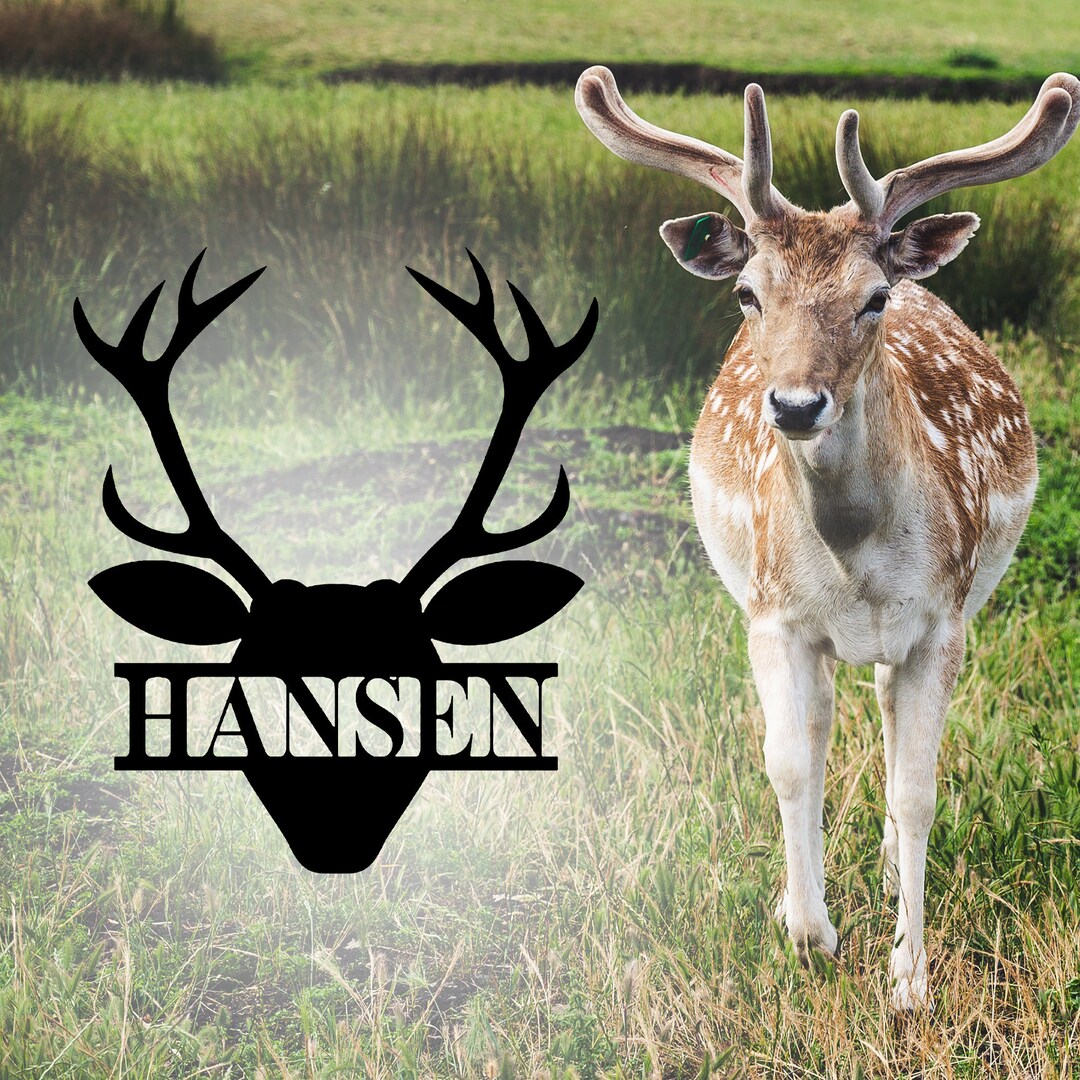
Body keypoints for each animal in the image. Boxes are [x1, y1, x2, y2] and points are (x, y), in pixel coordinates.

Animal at [575, 65, 1078, 1009]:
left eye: (871, 299)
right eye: (749, 294)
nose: (797, 404)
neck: (855, 554)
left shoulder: (943, 619)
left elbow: (918, 790)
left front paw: (909, 978)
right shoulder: (774, 615)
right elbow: (790, 763)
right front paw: (808, 933)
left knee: (881, 712)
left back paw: (885, 873)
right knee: (826, 726)